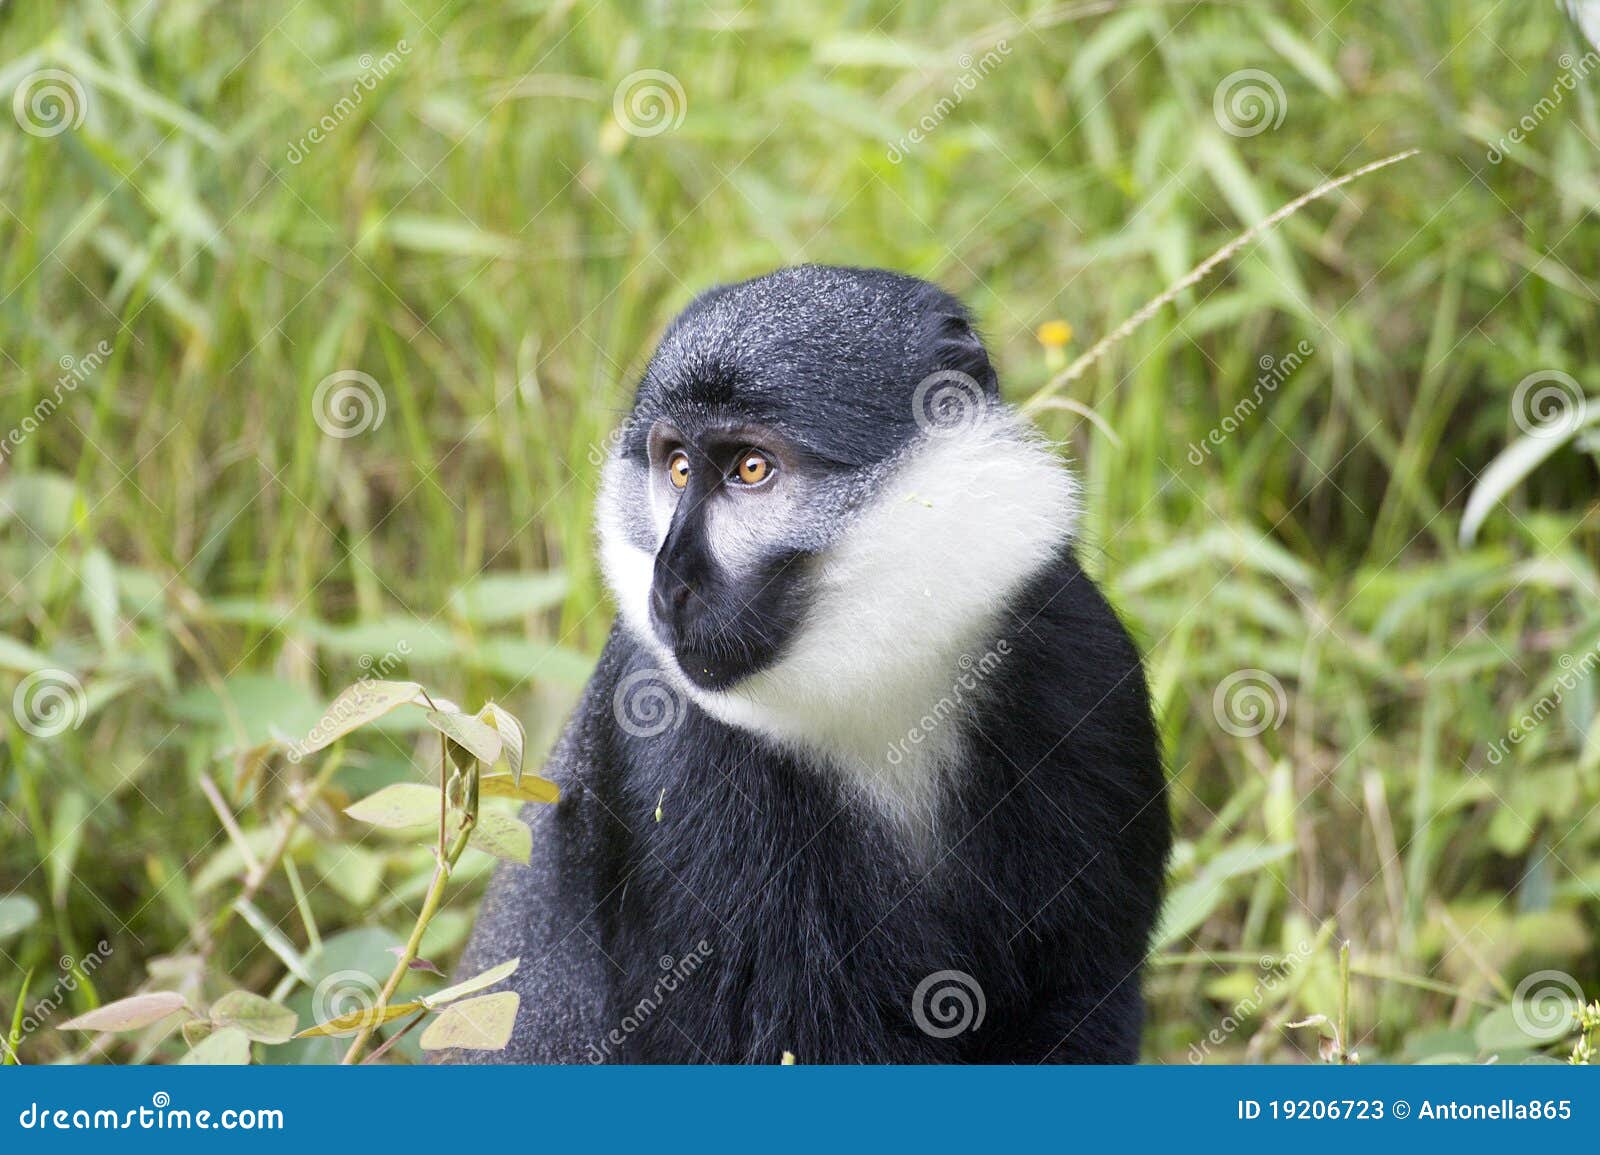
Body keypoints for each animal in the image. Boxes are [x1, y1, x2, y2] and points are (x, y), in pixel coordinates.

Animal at [450, 265, 1170, 1064]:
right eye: (677, 467)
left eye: (751, 468)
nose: (669, 583)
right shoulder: (673, 746)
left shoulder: (1080, 659)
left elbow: (1080, 998)